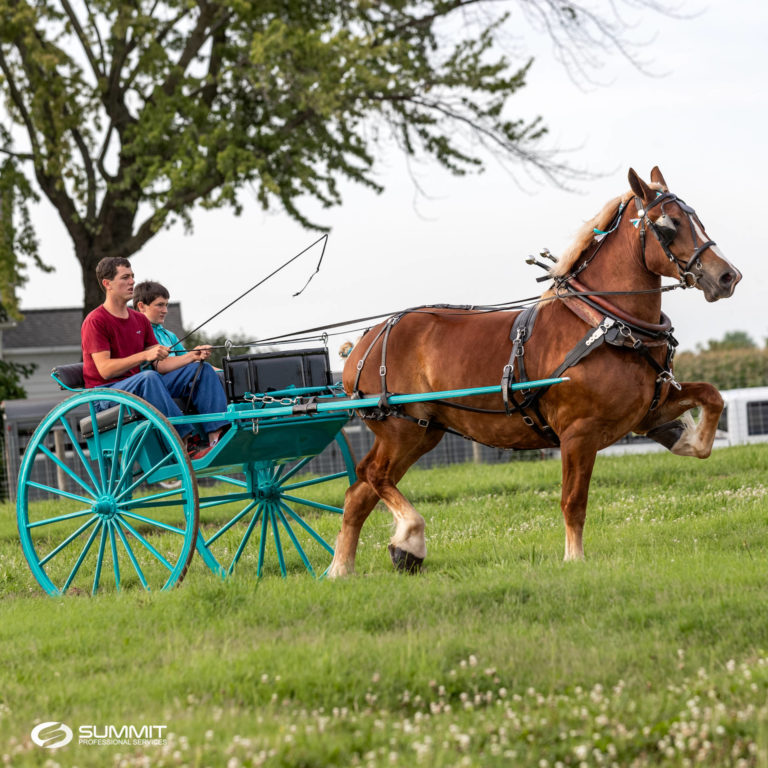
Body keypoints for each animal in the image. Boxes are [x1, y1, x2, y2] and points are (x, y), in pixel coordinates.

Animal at [328, 167, 741, 577]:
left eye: (696, 218)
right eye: (668, 225)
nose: (728, 276)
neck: (605, 324)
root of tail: (364, 342)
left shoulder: (647, 410)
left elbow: (710, 402)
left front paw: (686, 436)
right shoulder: (578, 433)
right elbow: (573, 501)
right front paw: (574, 558)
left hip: (422, 432)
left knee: (358, 493)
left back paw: (344, 569)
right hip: (401, 429)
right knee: (373, 476)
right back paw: (407, 540)